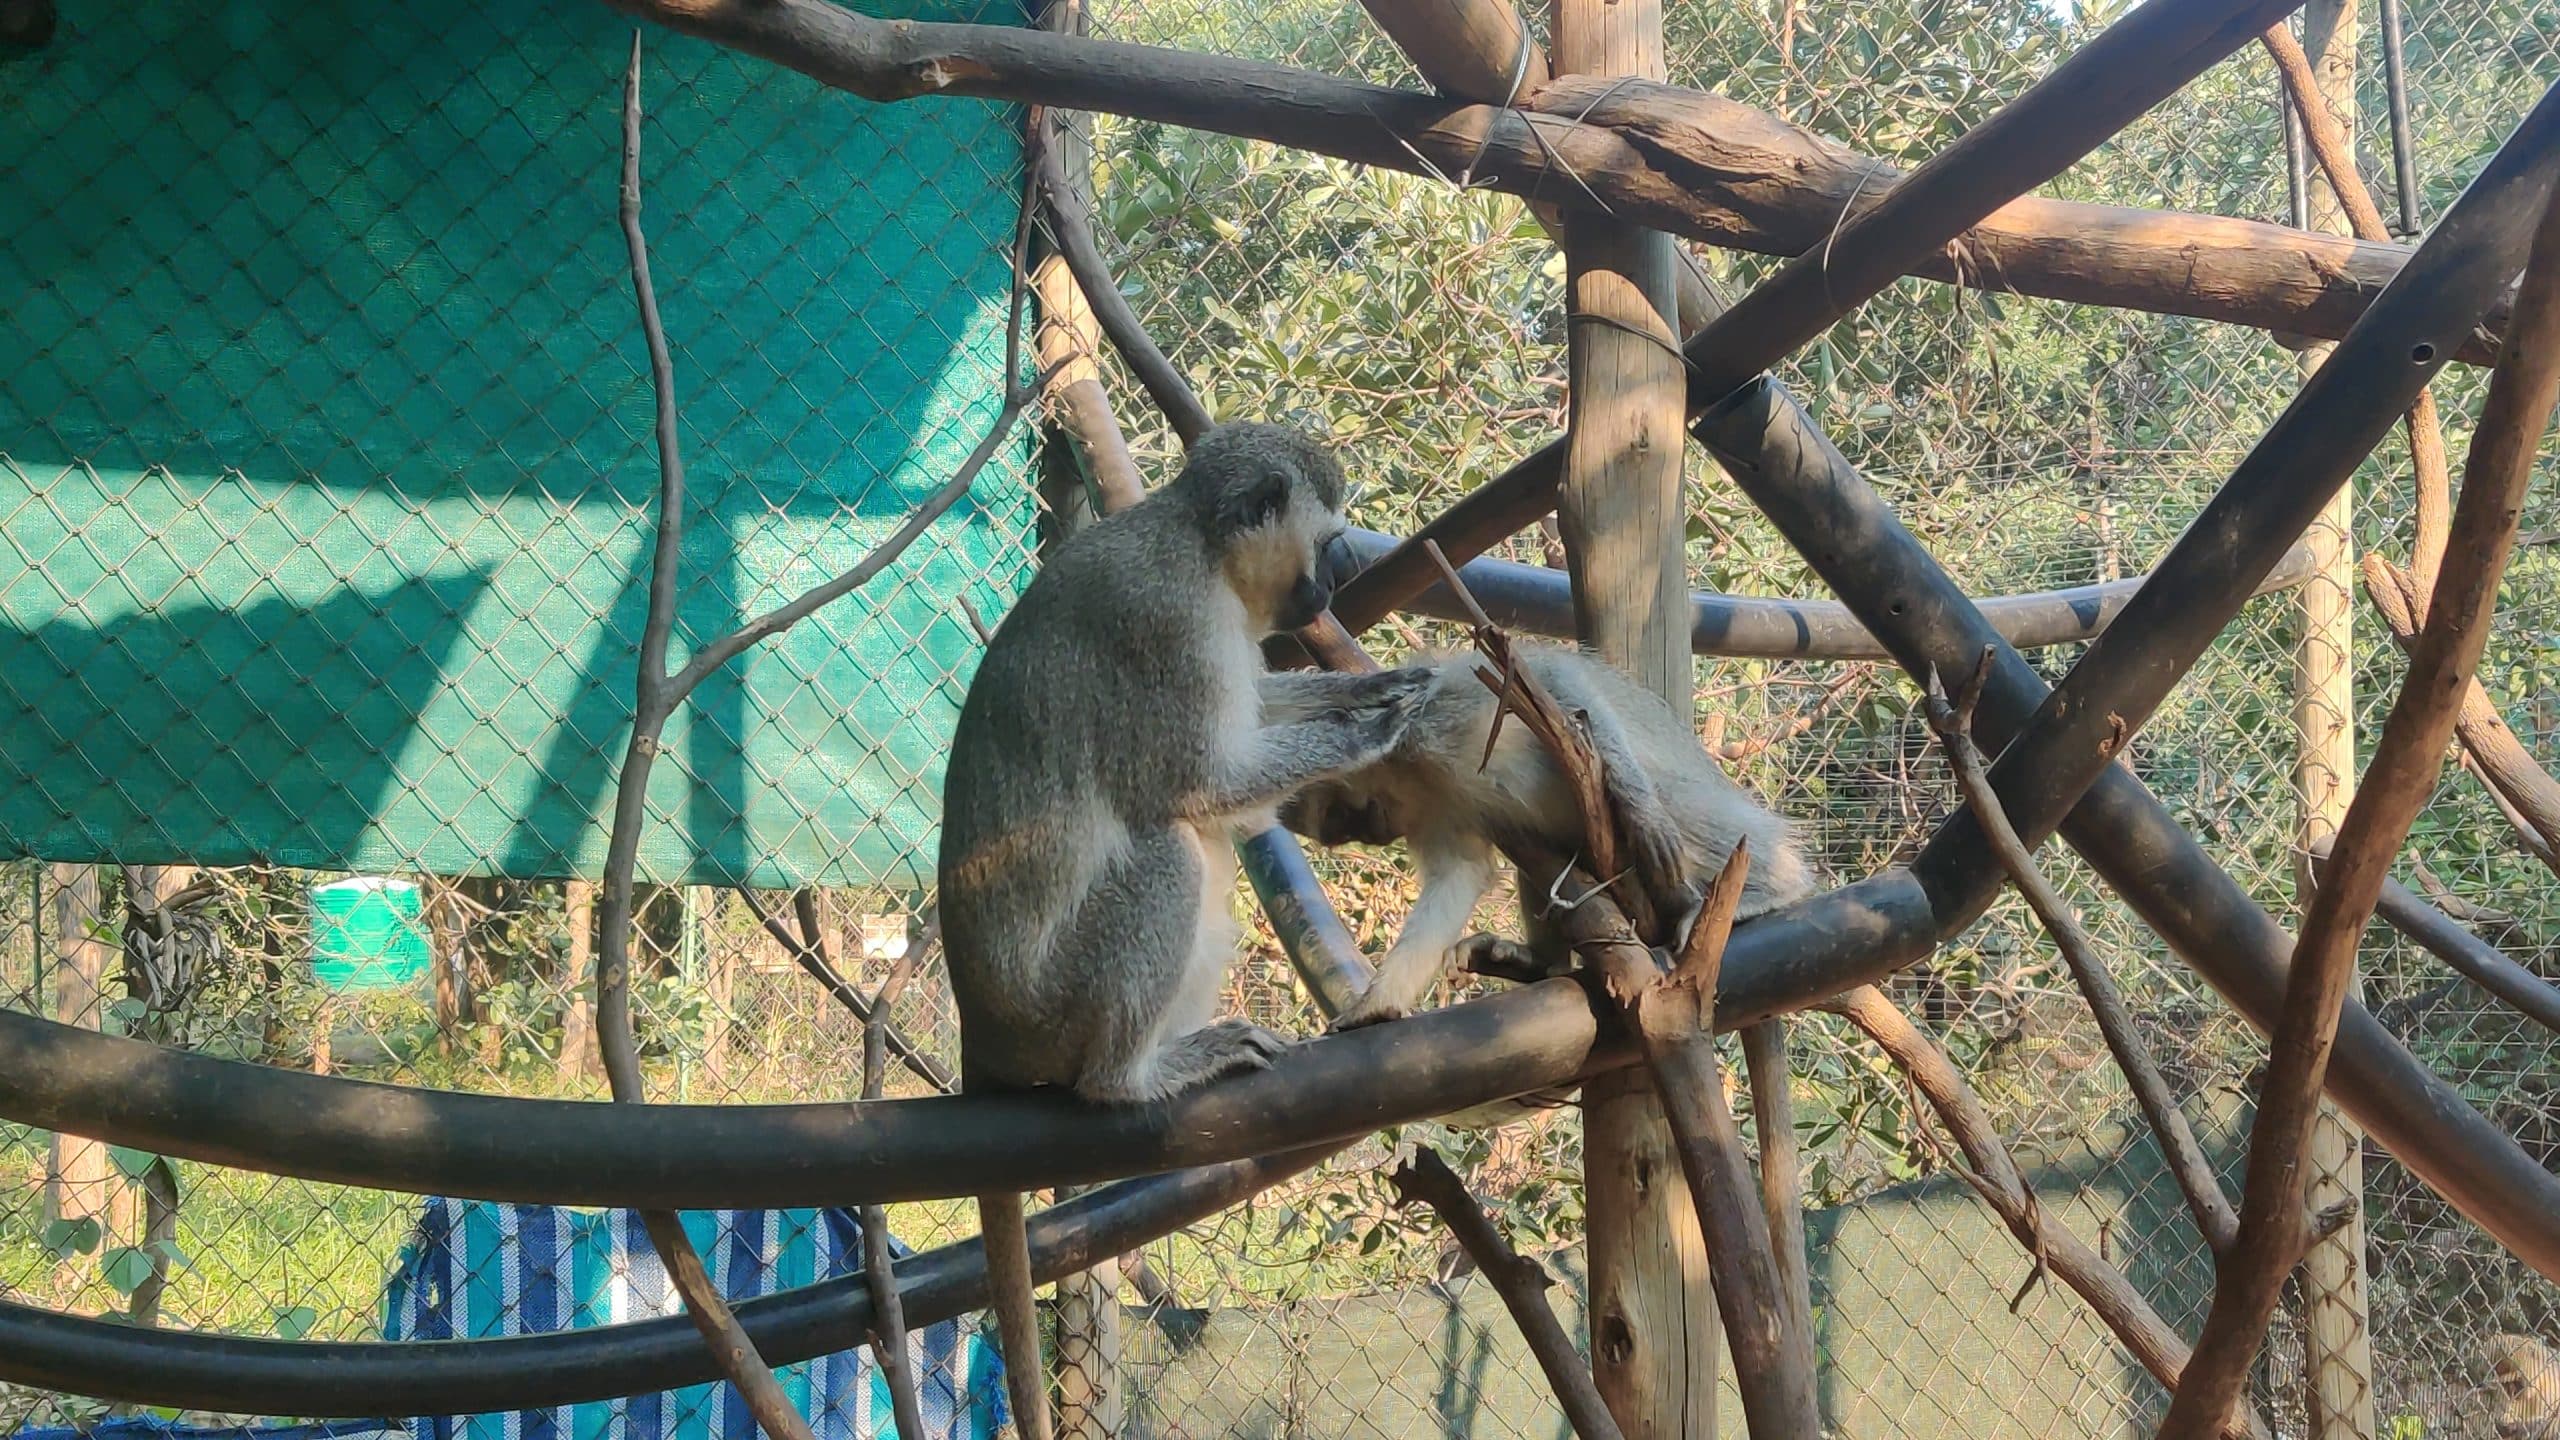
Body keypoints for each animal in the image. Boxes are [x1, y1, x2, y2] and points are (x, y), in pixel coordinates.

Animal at [937, 422, 1434, 1440]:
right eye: (1329, 544)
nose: (1325, 596)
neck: (1197, 545)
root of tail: (980, 1023)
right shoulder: (1167, 625)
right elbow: (1206, 776)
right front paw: (1374, 728)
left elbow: (1255, 712)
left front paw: (1375, 683)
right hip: (1054, 1004)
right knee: (1173, 845)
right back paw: (1131, 1076)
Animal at [1279, 639, 1818, 1030]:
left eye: (1338, 817)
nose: (1367, 837)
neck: (1411, 766)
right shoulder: (1436, 806)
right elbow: (1460, 874)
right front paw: (1375, 1004)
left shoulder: (1446, 703)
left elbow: (1558, 681)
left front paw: (1642, 808)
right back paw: (1538, 962)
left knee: (1673, 806)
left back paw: (1773, 887)